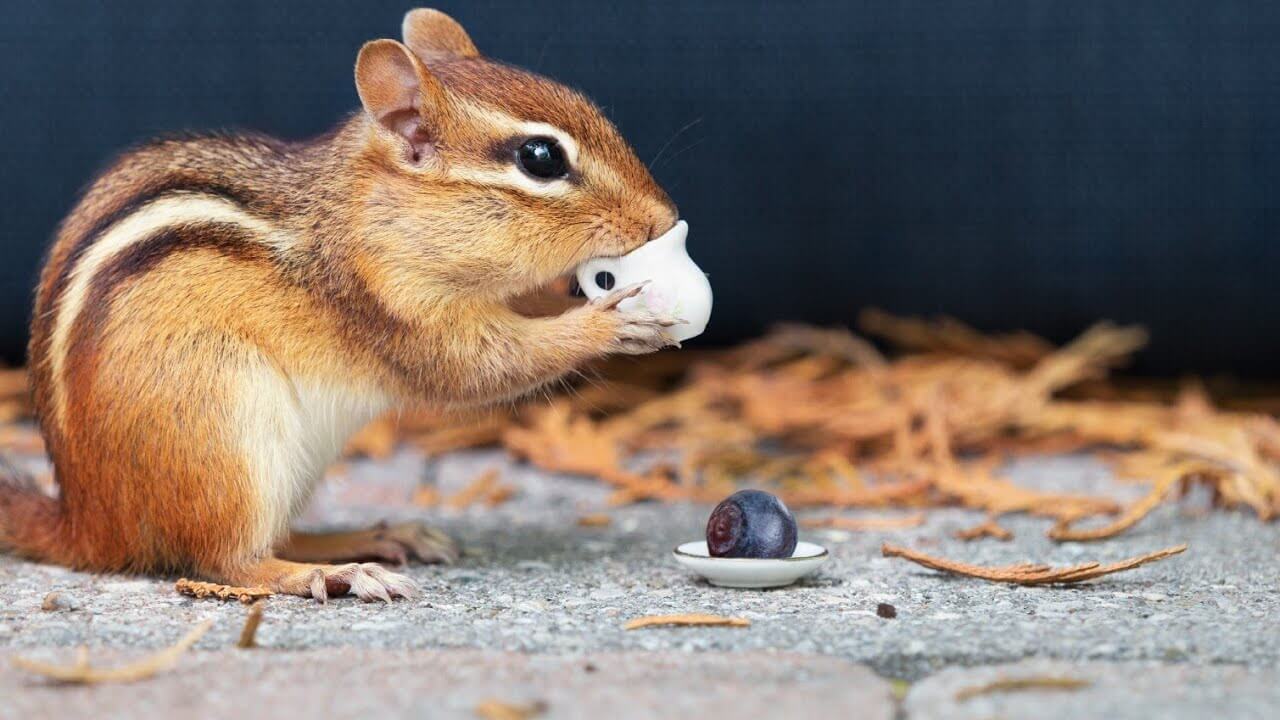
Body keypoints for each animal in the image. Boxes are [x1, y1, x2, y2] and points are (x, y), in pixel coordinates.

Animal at [0, 9, 682, 601]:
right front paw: (612, 321)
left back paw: (370, 538)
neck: (363, 215)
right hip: (223, 424)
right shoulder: (391, 308)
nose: (664, 218)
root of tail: (90, 523)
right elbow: (479, 367)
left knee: (278, 535)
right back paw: (329, 574)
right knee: (229, 559)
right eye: (540, 158)